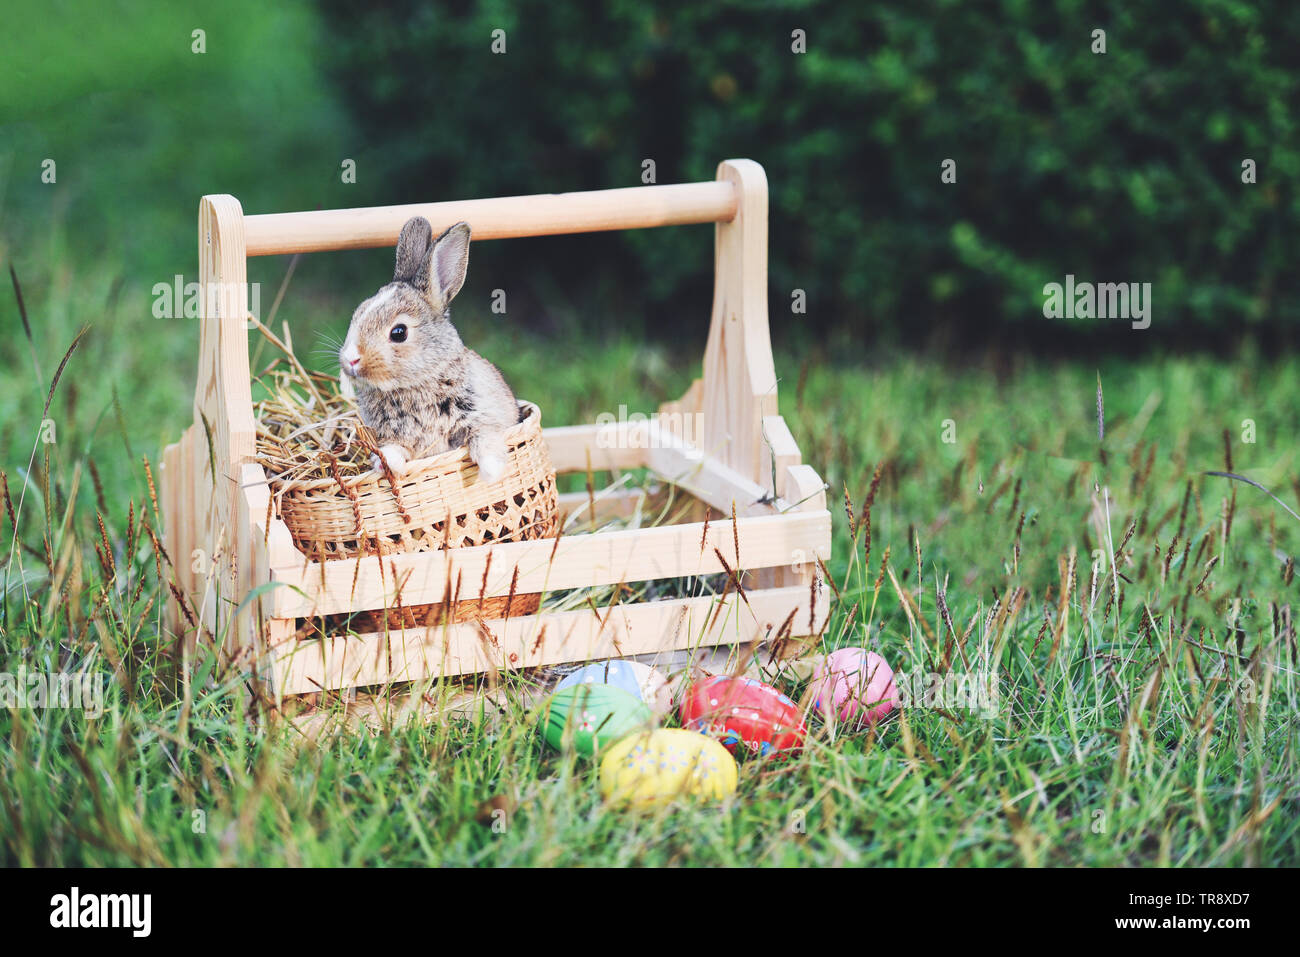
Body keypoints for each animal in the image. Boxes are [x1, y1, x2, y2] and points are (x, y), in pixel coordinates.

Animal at [339, 216, 519, 484]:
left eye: (399, 332)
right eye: (357, 314)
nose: (350, 359)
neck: (414, 386)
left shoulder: (482, 417)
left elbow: (485, 438)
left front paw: (491, 472)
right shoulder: (397, 438)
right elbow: (394, 449)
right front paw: (385, 465)